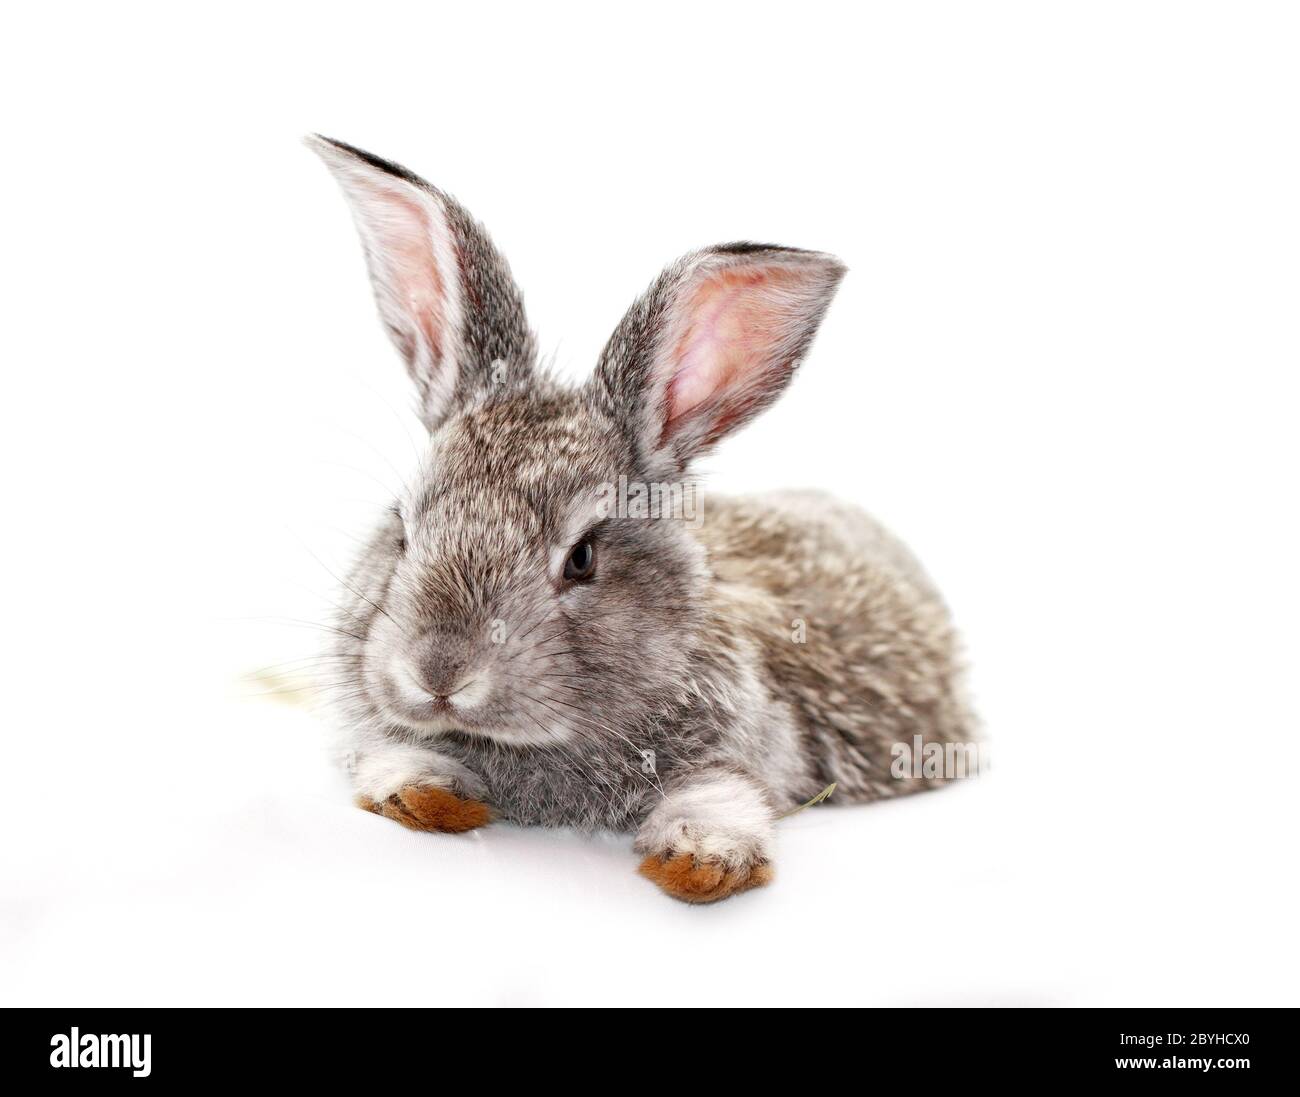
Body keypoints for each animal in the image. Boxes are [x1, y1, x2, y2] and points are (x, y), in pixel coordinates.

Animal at [307, 136, 976, 903]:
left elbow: (722, 796)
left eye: (583, 557)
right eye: (403, 528)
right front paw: (422, 794)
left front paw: (700, 862)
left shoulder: (743, 749)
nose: (439, 672)